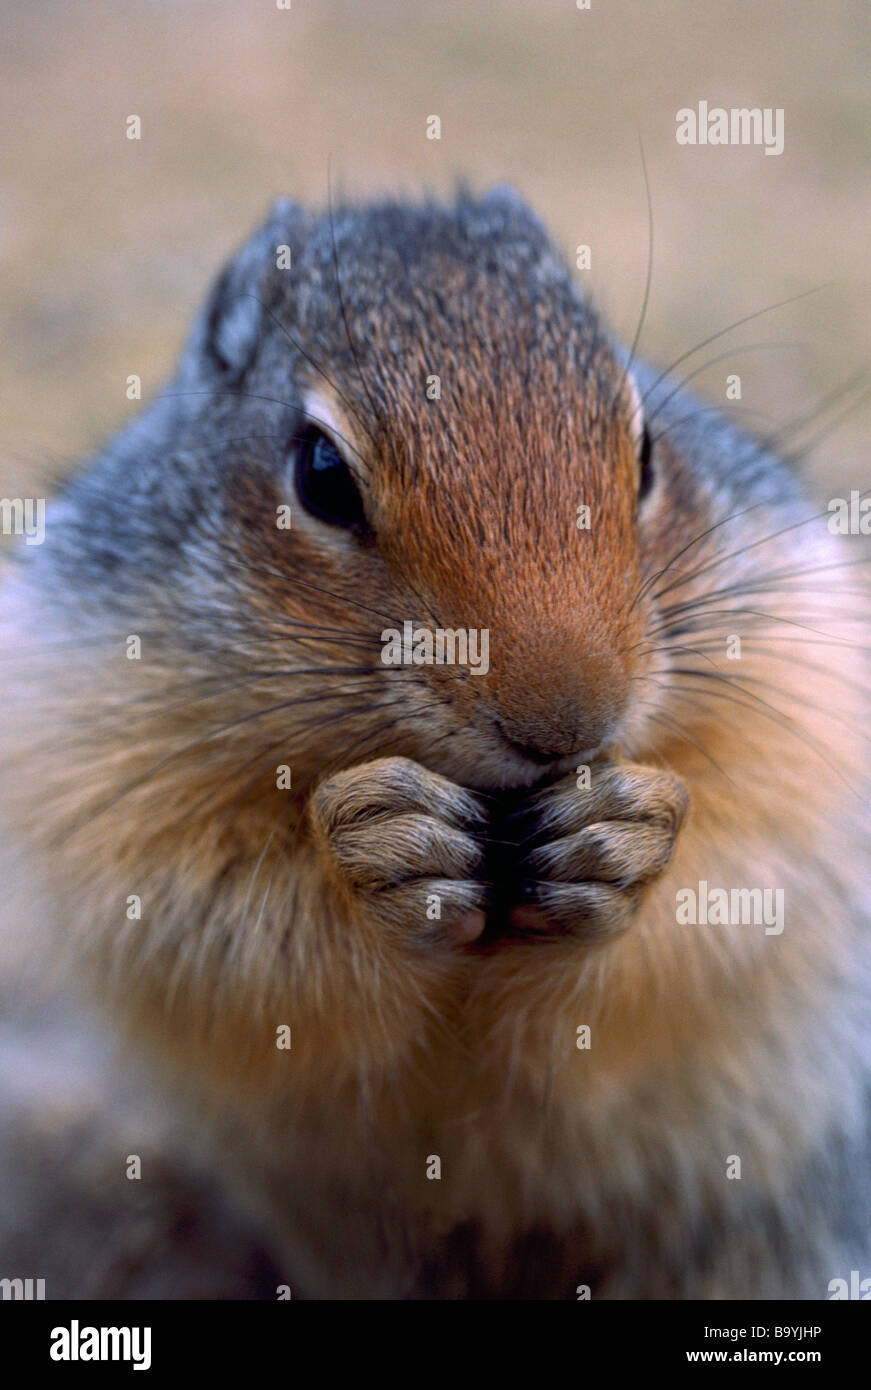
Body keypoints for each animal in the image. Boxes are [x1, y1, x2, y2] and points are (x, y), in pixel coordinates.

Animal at [0, 187, 869, 1299]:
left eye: (645, 453)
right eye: (321, 474)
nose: (567, 726)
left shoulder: (800, 720)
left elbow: (731, 893)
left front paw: (622, 839)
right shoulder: (98, 751)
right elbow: (222, 932)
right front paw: (380, 845)